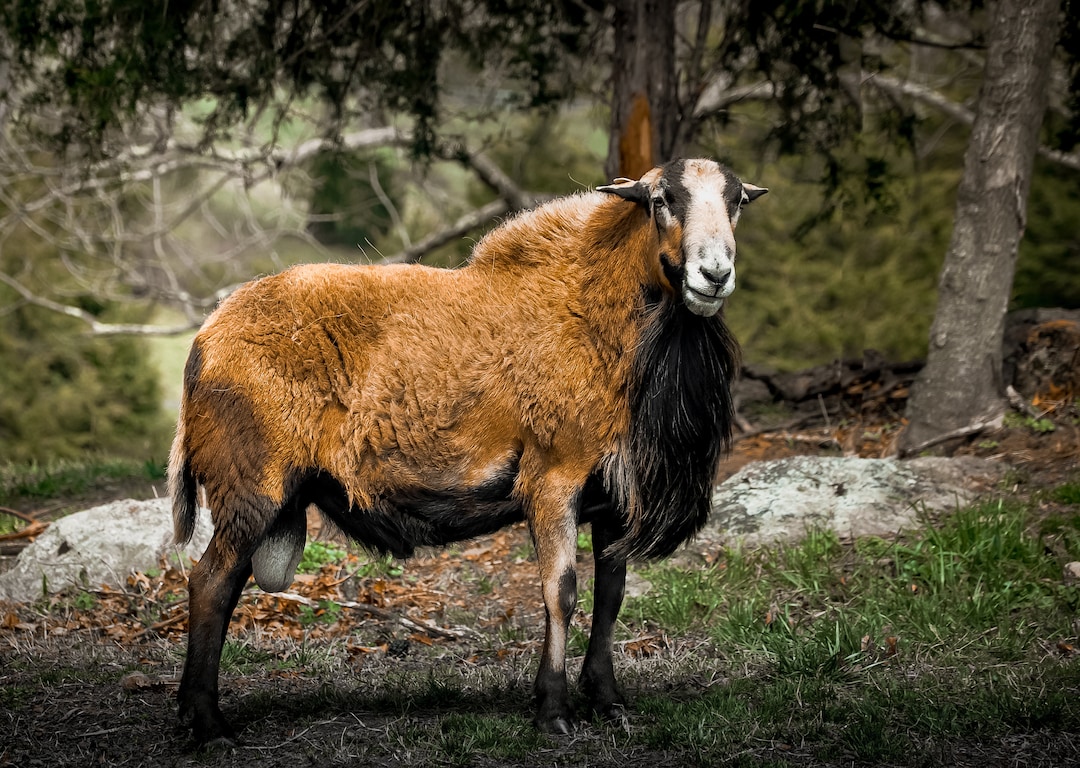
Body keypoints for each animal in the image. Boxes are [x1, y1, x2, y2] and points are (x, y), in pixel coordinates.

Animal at [169, 157, 766, 744]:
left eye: (737, 200)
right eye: (661, 200)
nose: (714, 274)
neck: (594, 312)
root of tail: (204, 340)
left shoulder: (614, 495)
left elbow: (611, 595)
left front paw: (609, 701)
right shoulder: (553, 477)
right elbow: (562, 591)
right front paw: (553, 711)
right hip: (251, 483)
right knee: (210, 583)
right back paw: (208, 724)